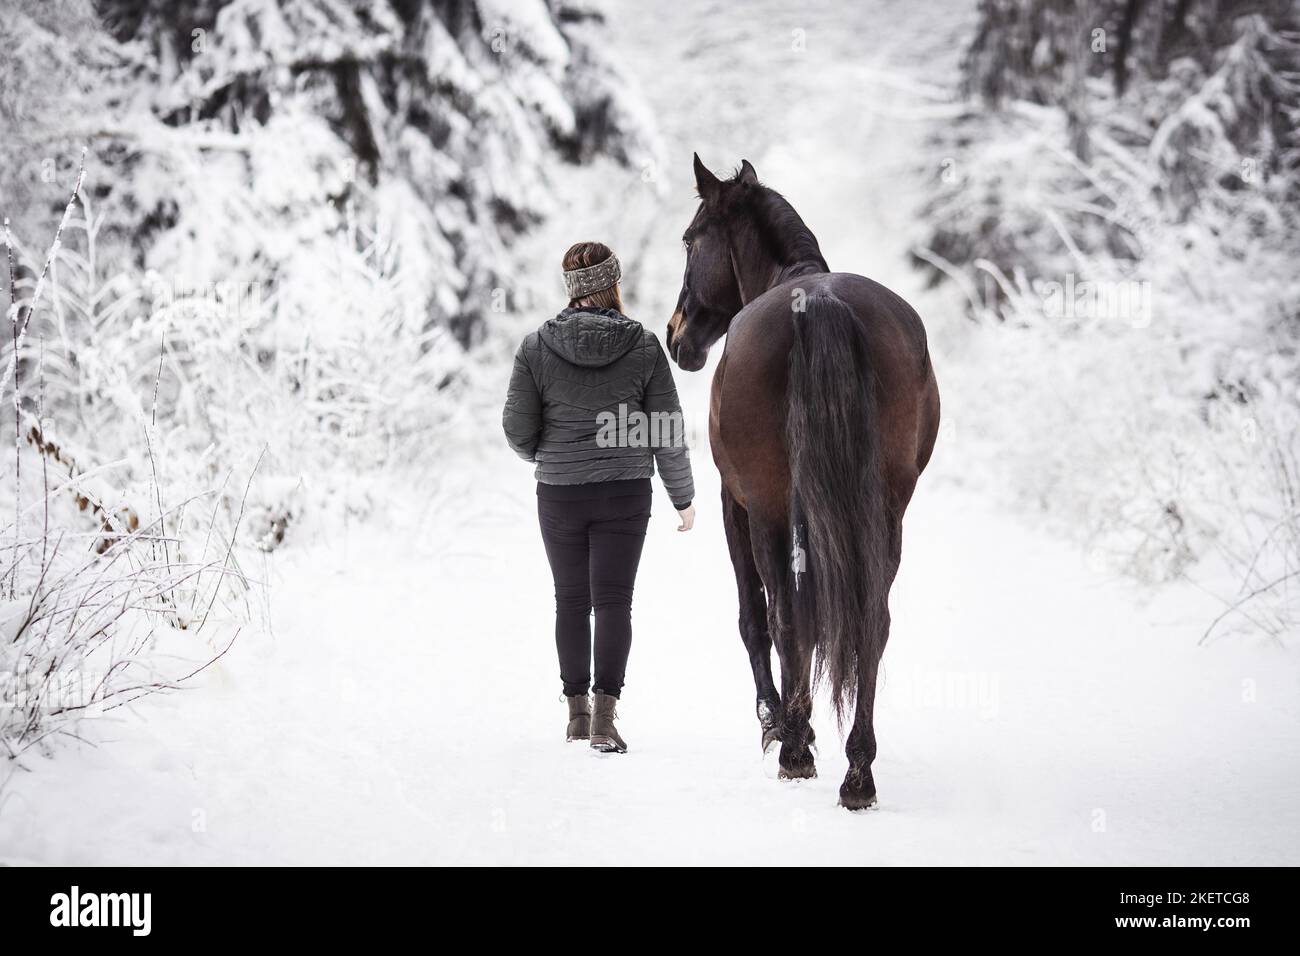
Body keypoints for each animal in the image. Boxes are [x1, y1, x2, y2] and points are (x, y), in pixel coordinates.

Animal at [666, 154, 940, 809]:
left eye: (689, 240)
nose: (675, 336)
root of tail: (819, 305)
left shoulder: (735, 504)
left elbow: (760, 618)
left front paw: (782, 722)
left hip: (765, 507)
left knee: (782, 615)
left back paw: (794, 750)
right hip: (884, 514)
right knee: (872, 621)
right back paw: (858, 772)